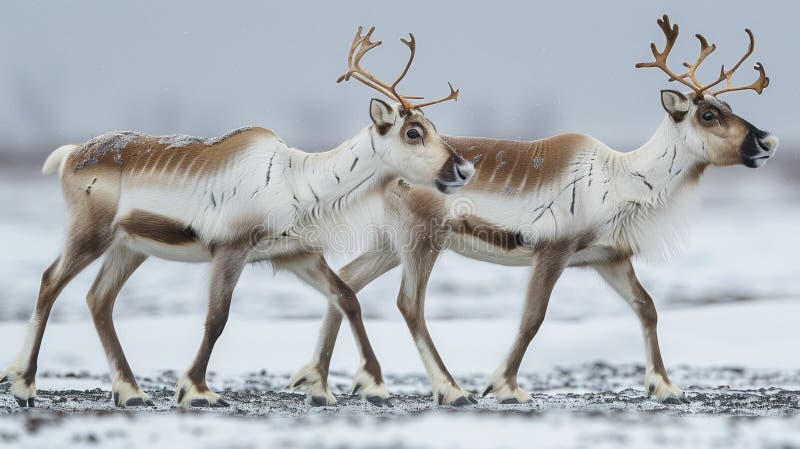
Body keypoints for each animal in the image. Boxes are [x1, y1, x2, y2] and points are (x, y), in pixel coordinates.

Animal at [0, 26, 473, 409]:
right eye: (413, 132)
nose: (464, 169)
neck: (303, 185)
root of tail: (70, 153)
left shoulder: (296, 254)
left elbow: (347, 298)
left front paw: (368, 383)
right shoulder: (231, 249)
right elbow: (217, 318)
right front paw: (196, 389)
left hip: (130, 245)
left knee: (99, 299)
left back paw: (131, 392)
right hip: (90, 231)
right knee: (49, 281)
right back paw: (25, 384)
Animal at [288, 15, 778, 407]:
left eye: (729, 106)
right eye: (708, 114)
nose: (767, 140)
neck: (624, 180)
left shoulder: (610, 258)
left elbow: (648, 307)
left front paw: (666, 386)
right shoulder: (553, 249)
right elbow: (533, 318)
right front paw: (505, 386)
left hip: (390, 244)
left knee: (346, 279)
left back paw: (318, 381)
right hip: (422, 239)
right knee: (408, 303)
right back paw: (451, 390)